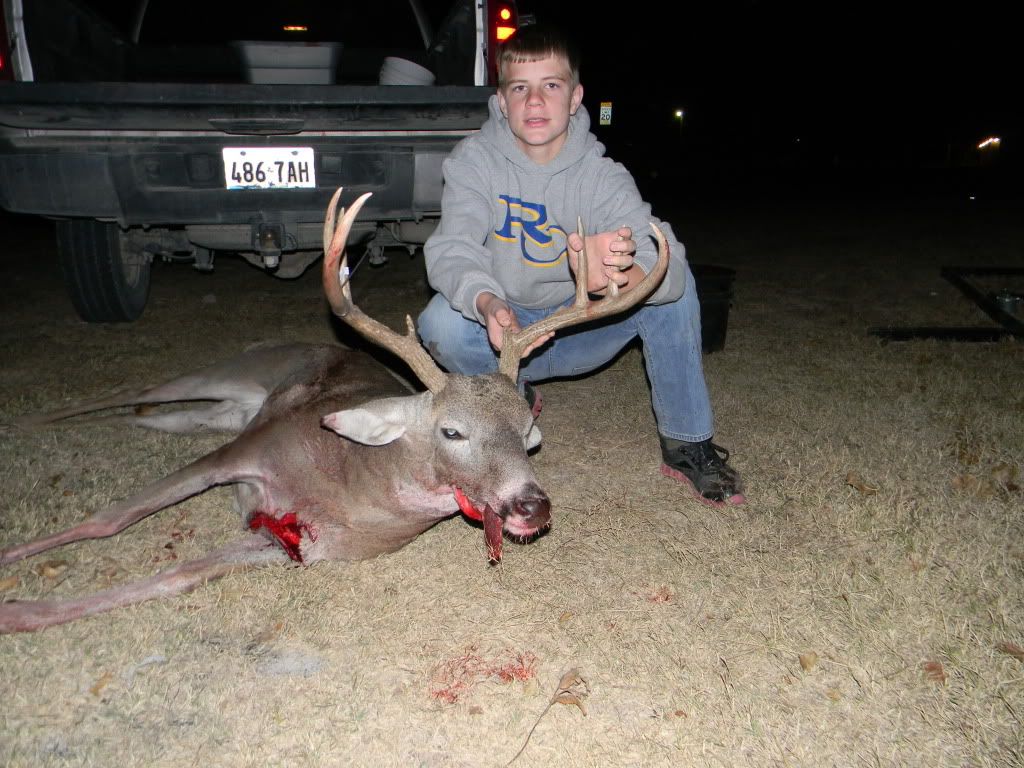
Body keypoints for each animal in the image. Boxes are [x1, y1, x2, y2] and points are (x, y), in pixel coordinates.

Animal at [0, 187, 670, 633]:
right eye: (452, 431)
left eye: (528, 433)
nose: (531, 506)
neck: (349, 484)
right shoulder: (247, 449)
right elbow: (110, 518)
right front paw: (12, 575)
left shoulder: (297, 543)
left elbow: (179, 576)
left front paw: (23, 612)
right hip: (228, 380)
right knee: (127, 392)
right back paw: (26, 421)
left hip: (213, 413)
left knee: (139, 416)